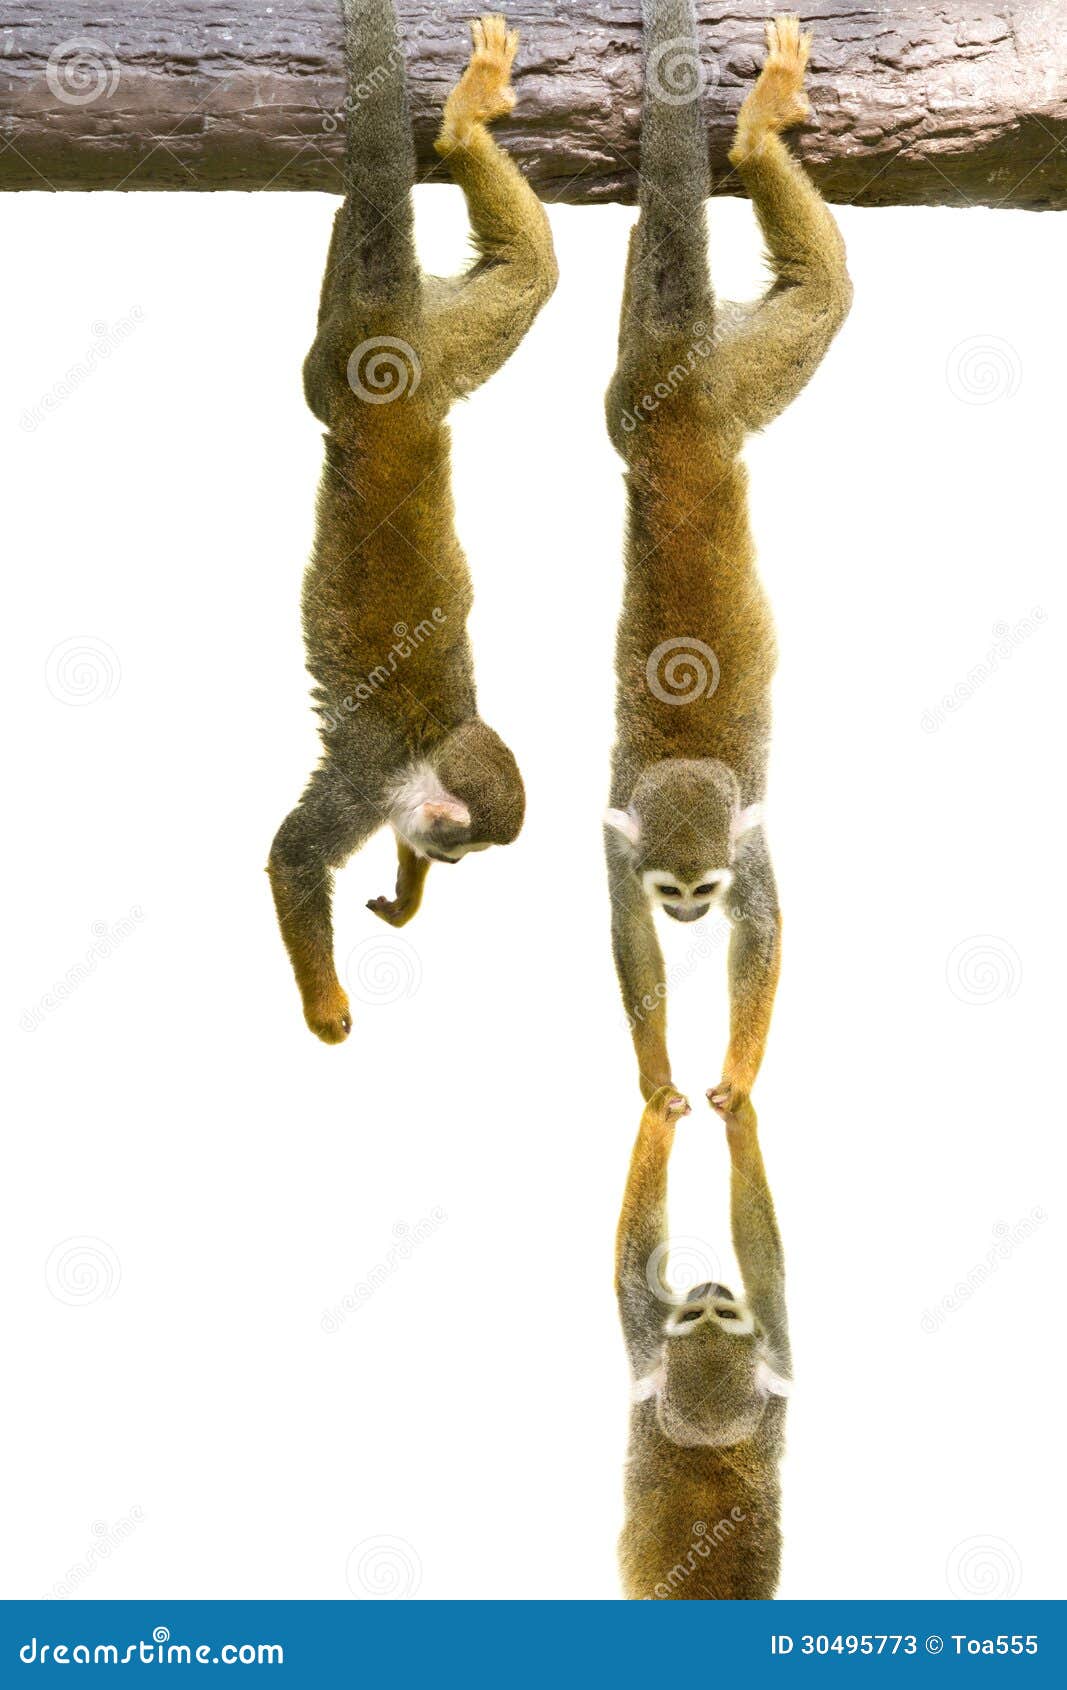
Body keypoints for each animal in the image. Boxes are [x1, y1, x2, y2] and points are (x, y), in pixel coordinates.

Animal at [267, 2, 557, 1043]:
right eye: (468, 848)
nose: (453, 865)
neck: (432, 750)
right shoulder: (372, 777)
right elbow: (296, 854)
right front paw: (325, 1011)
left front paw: (403, 897)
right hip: (357, 367)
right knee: (326, 366)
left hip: (441, 353)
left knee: (531, 273)